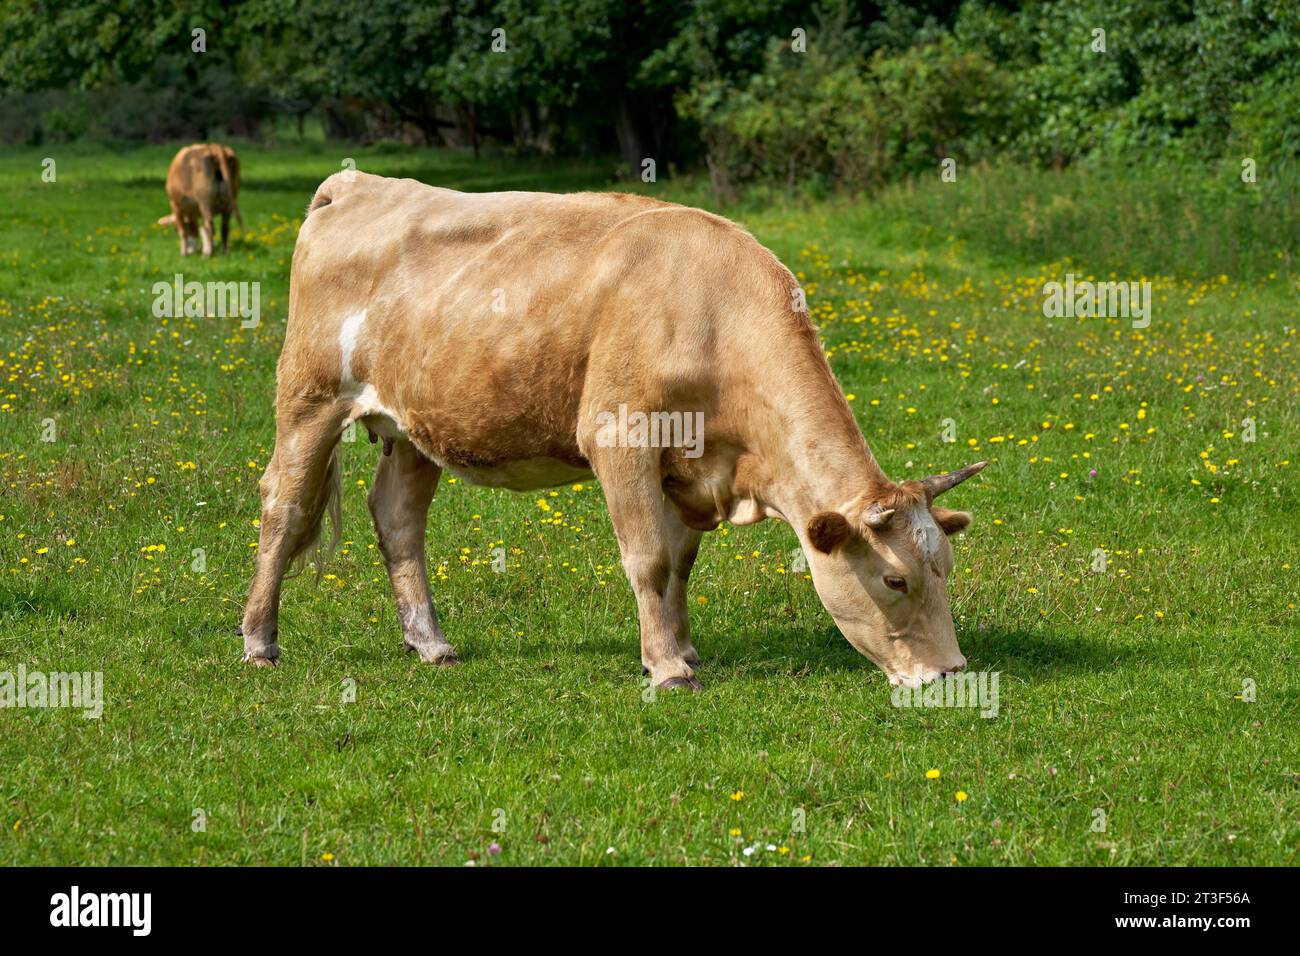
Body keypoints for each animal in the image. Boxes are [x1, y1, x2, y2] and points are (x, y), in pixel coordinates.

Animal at [238, 171, 986, 690]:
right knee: (285, 505)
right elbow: (647, 557)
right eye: (894, 580)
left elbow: (679, 563)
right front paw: (669, 671)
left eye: (945, 567)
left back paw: (430, 642)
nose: (951, 673)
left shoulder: (690, 464)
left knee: (397, 517)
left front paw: (681, 649)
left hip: (416, 423)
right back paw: (259, 641)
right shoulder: (621, 439)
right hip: (308, 399)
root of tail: (355, 183)